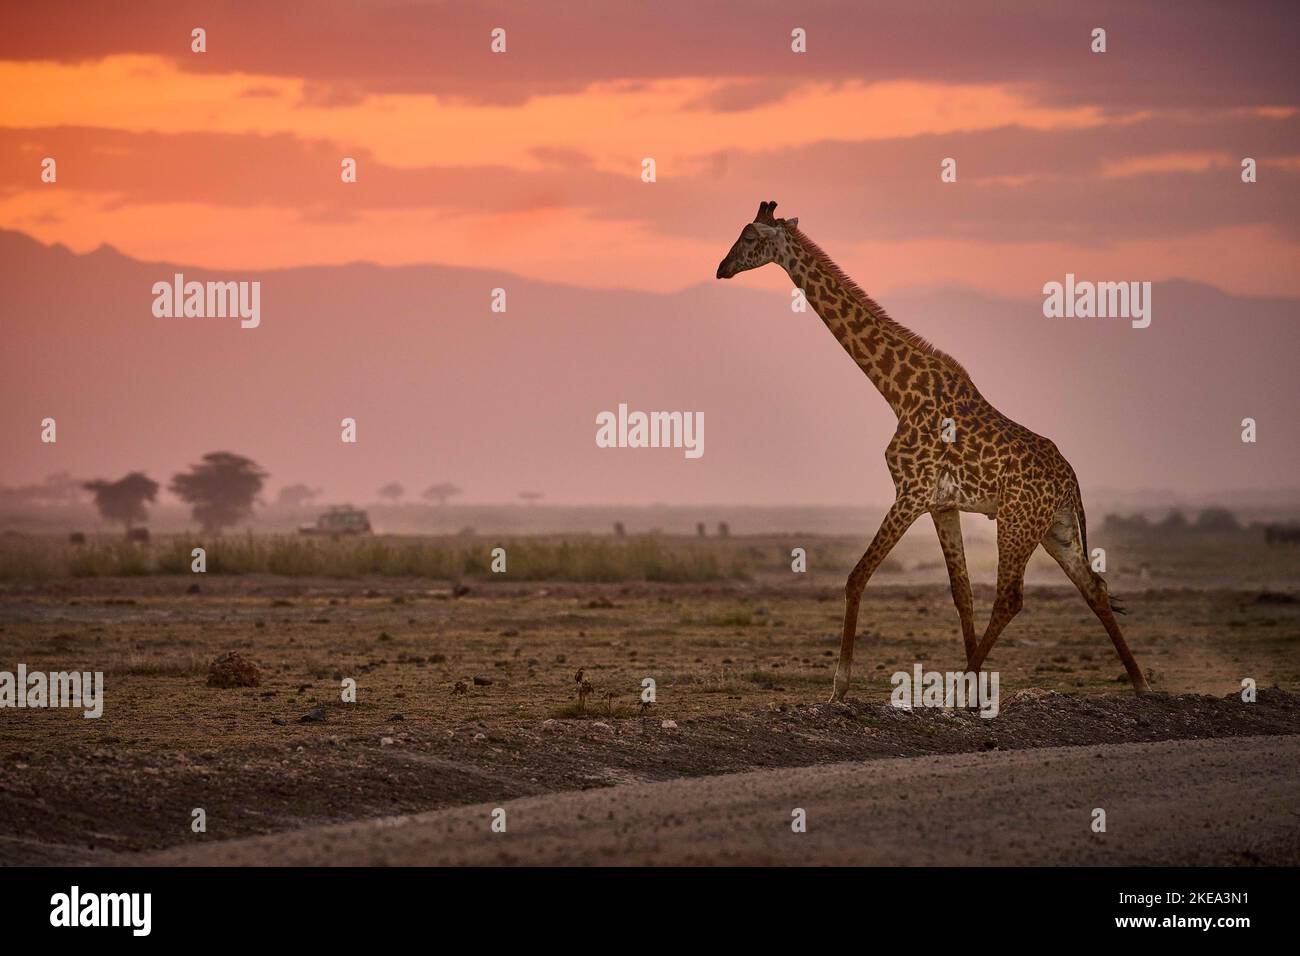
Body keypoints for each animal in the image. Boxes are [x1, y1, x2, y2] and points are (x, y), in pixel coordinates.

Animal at [716, 201, 1150, 702]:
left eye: (750, 237)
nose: (722, 268)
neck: (898, 391)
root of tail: (1071, 480)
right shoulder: (943, 504)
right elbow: (961, 592)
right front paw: (976, 689)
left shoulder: (911, 492)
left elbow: (856, 577)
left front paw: (840, 686)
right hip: (1054, 527)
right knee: (1093, 586)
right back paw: (1140, 684)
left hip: (1017, 521)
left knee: (1011, 596)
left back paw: (961, 683)